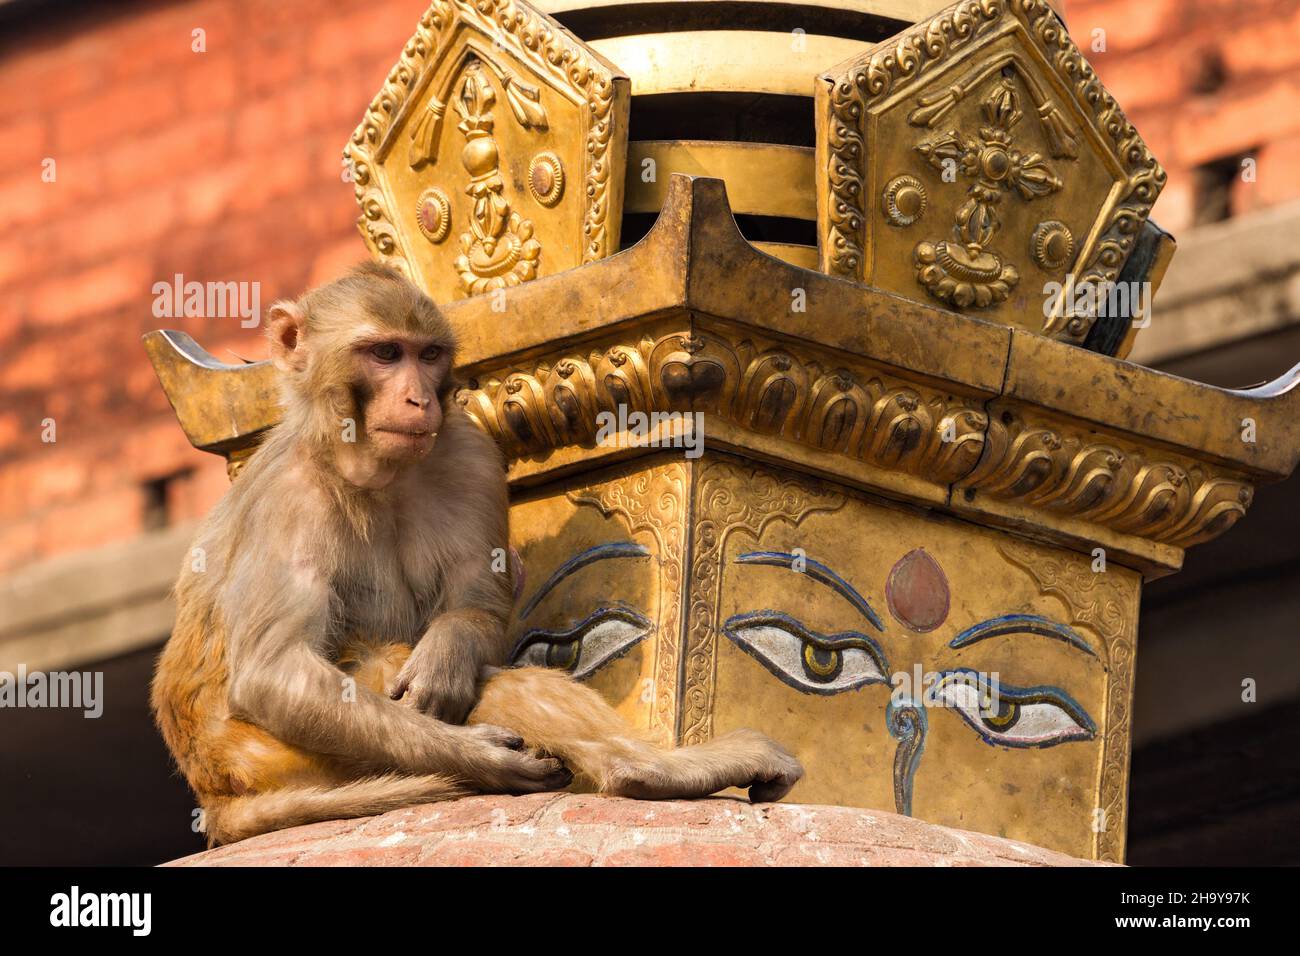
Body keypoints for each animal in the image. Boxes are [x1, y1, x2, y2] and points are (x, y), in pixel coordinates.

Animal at [151, 262, 803, 846]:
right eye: (384, 353)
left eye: (427, 354)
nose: (418, 399)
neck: (363, 465)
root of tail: (215, 792)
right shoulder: (291, 500)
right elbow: (273, 673)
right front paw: (482, 757)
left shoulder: (468, 450)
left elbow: (477, 600)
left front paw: (446, 656)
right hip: (269, 754)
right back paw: (648, 771)